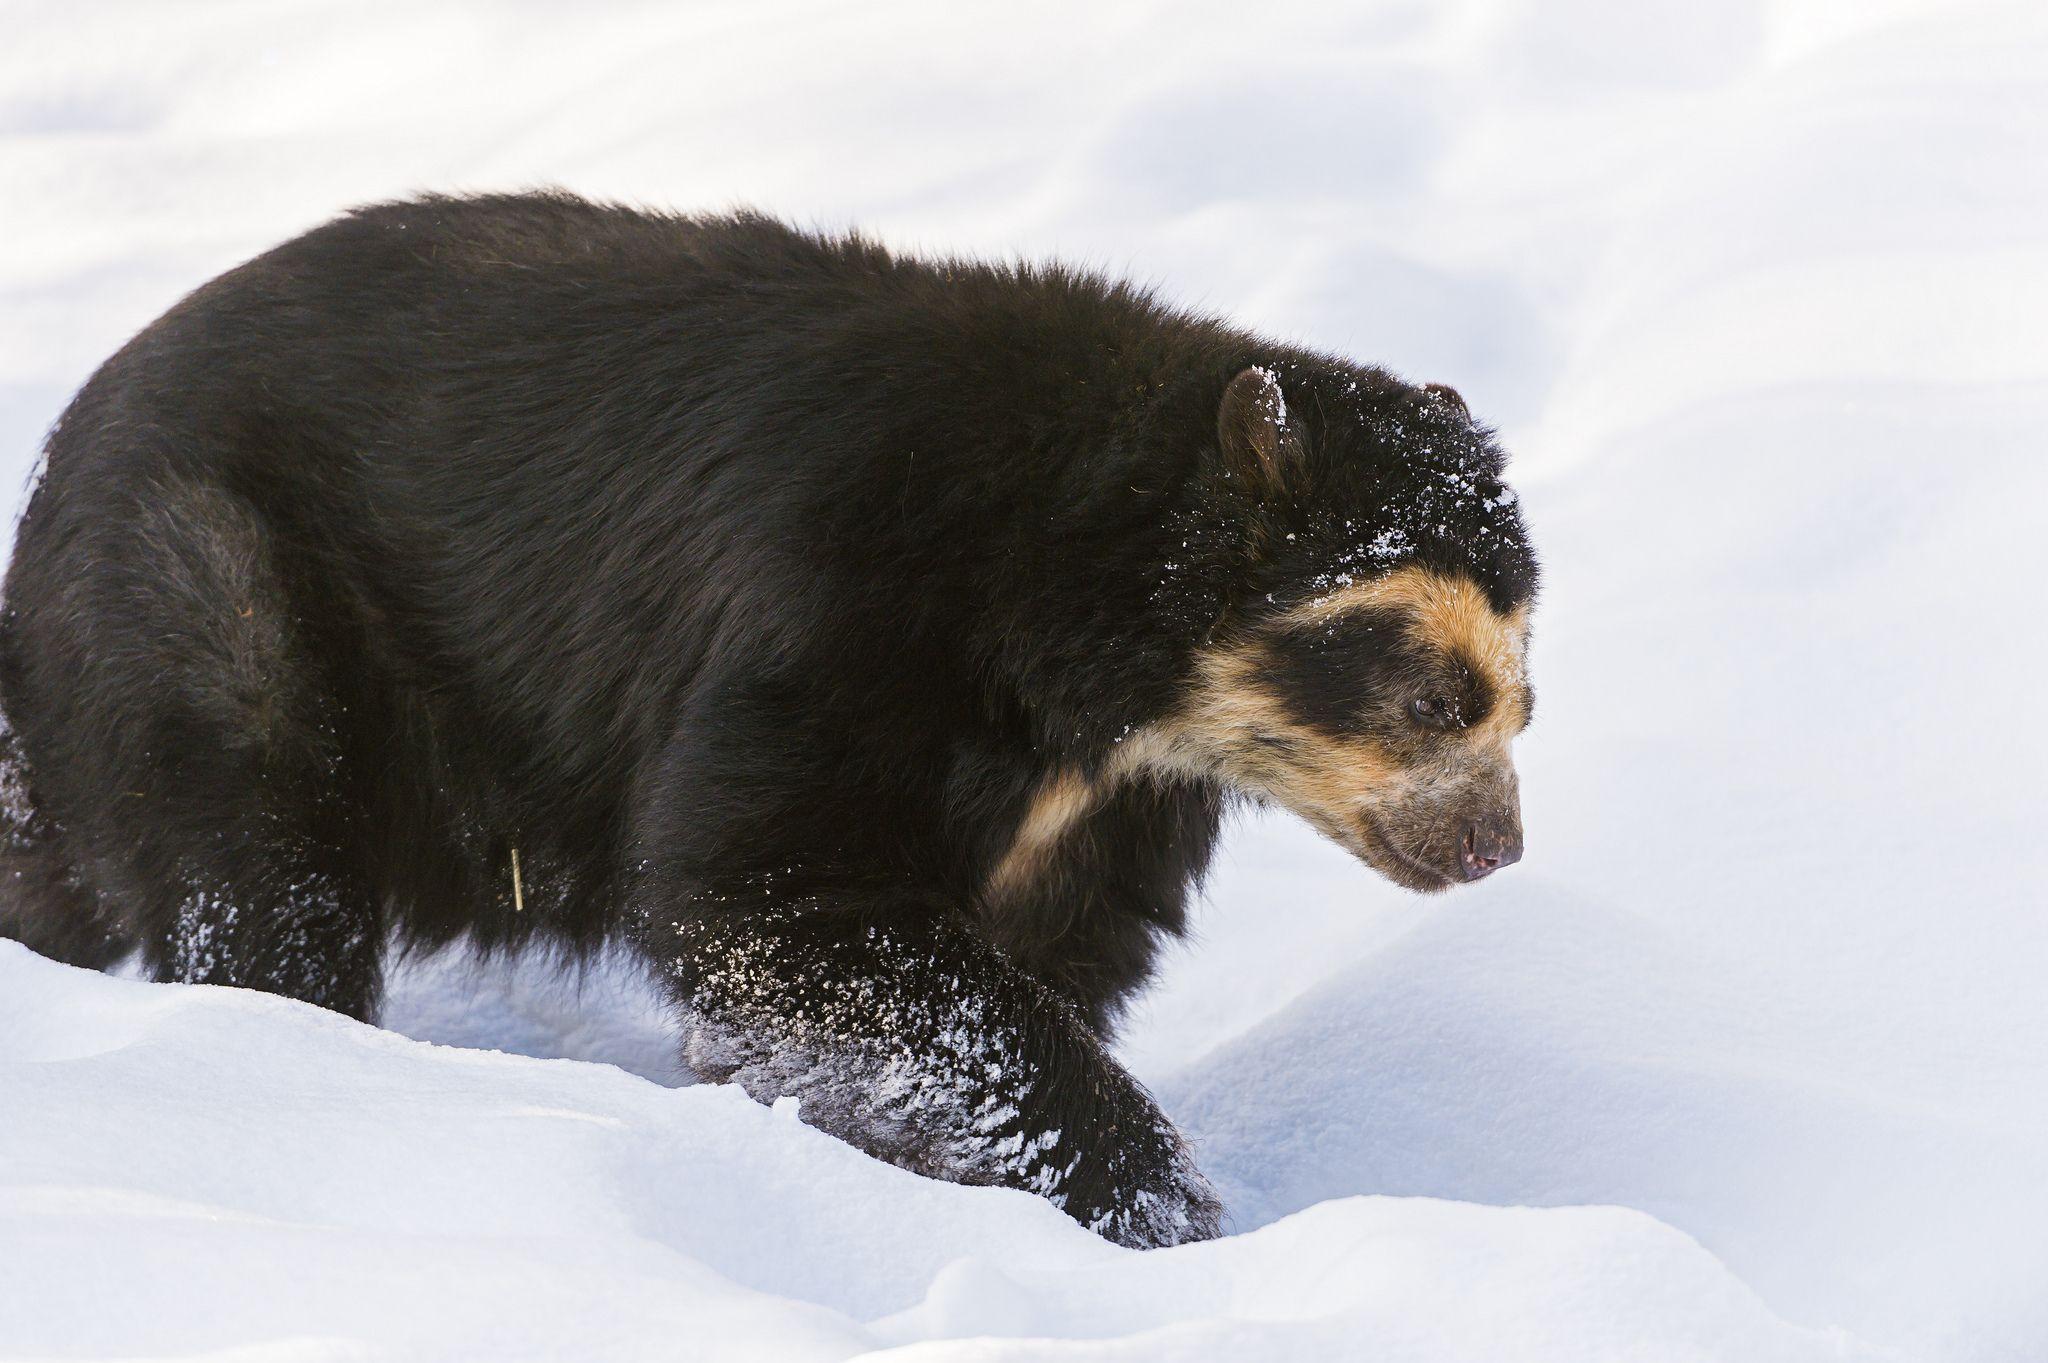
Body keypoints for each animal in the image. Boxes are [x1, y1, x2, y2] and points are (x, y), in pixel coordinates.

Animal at [0, 192, 1538, 1249]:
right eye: (1432, 695)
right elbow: (778, 893)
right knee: (258, 872)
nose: (1495, 848)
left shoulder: (1105, 809)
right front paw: (1149, 1203)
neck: (1095, 675)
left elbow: (1039, 957)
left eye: (1526, 697)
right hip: (211, 588)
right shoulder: (837, 620)